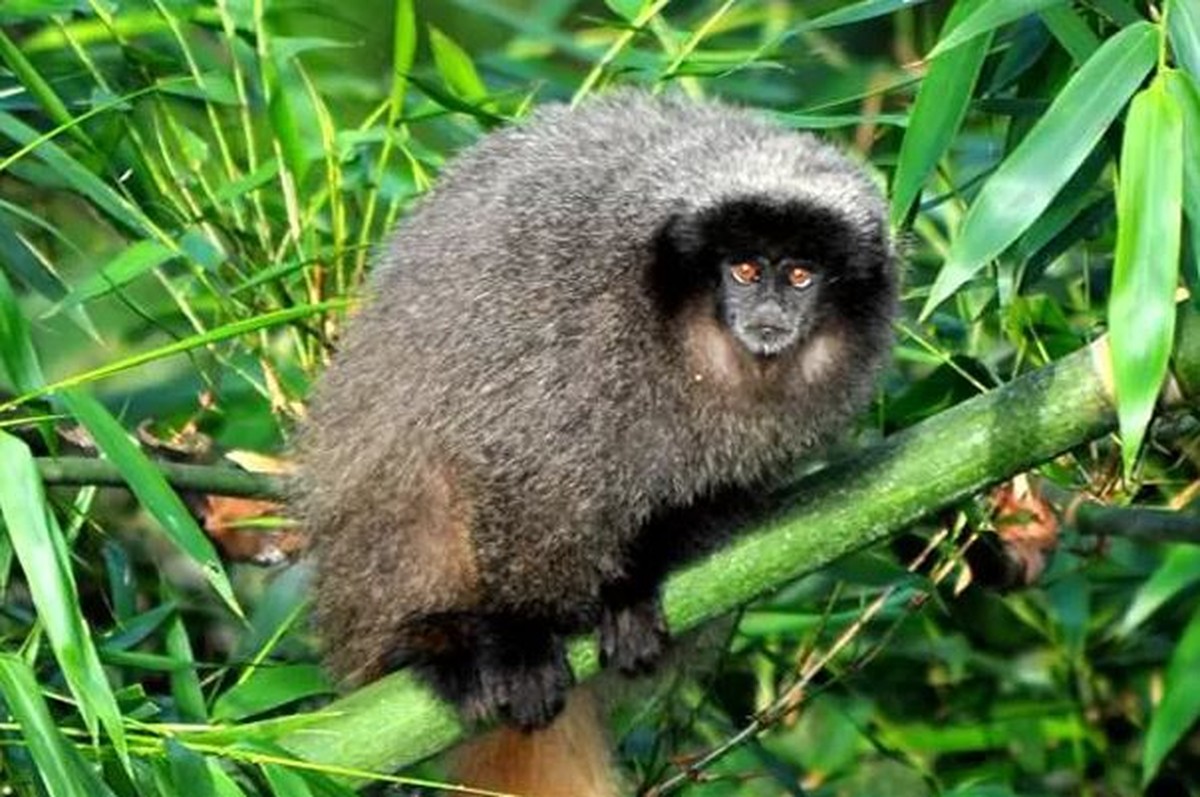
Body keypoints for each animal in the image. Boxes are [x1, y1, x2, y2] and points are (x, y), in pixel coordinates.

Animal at [297, 90, 899, 796]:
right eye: (746, 270)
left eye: (801, 276)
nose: (770, 317)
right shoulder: (587, 329)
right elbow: (522, 467)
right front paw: (521, 636)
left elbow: (717, 496)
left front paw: (632, 588)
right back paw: (434, 640)